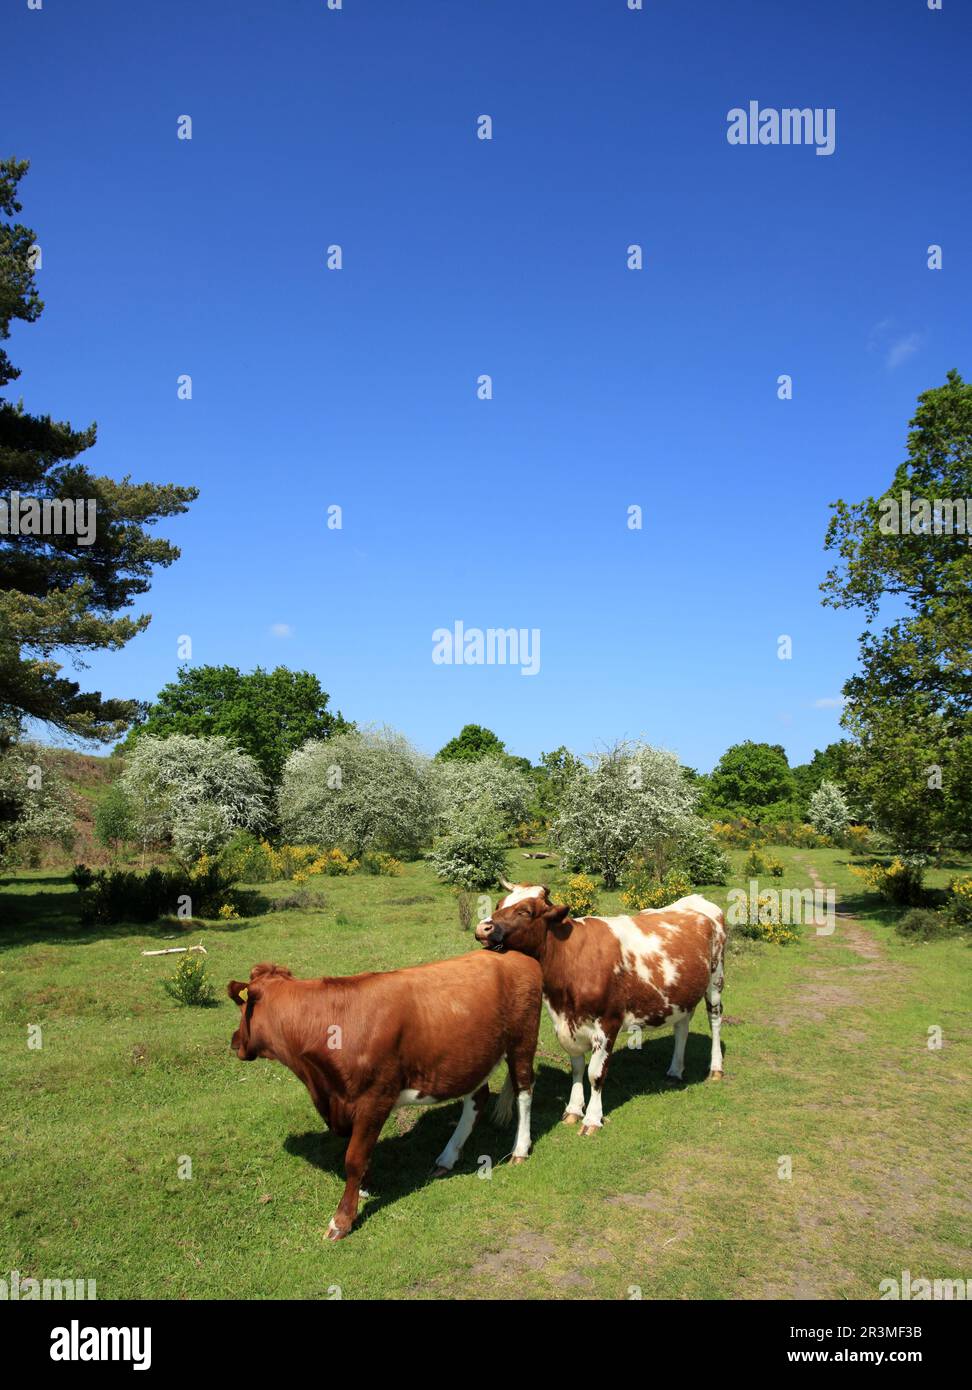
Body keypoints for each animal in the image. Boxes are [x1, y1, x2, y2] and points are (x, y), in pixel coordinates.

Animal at [227, 949, 543, 1239]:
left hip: (522, 1043)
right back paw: (447, 1157)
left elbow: (354, 1158)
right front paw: (365, 1189)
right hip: (473, 1057)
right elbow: (363, 1154)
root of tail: (514, 956)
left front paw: (342, 1220)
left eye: (242, 1007)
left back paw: (519, 1150)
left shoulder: (375, 1099)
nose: (234, 1040)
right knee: (477, 1099)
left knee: (524, 1092)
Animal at [474, 881, 726, 1136]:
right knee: (682, 1028)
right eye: (499, 904)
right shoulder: (568, 1024)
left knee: (715, 1020)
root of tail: (695, 900)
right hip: (681, 995)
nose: (483, 928)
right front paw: (574, 1109)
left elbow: (595, 1073)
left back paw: (715, 1068)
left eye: (525, 911)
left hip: (715, 979)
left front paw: (592, 1119)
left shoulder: (608, 1023)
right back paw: (675, 1070)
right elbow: (577, 1067)